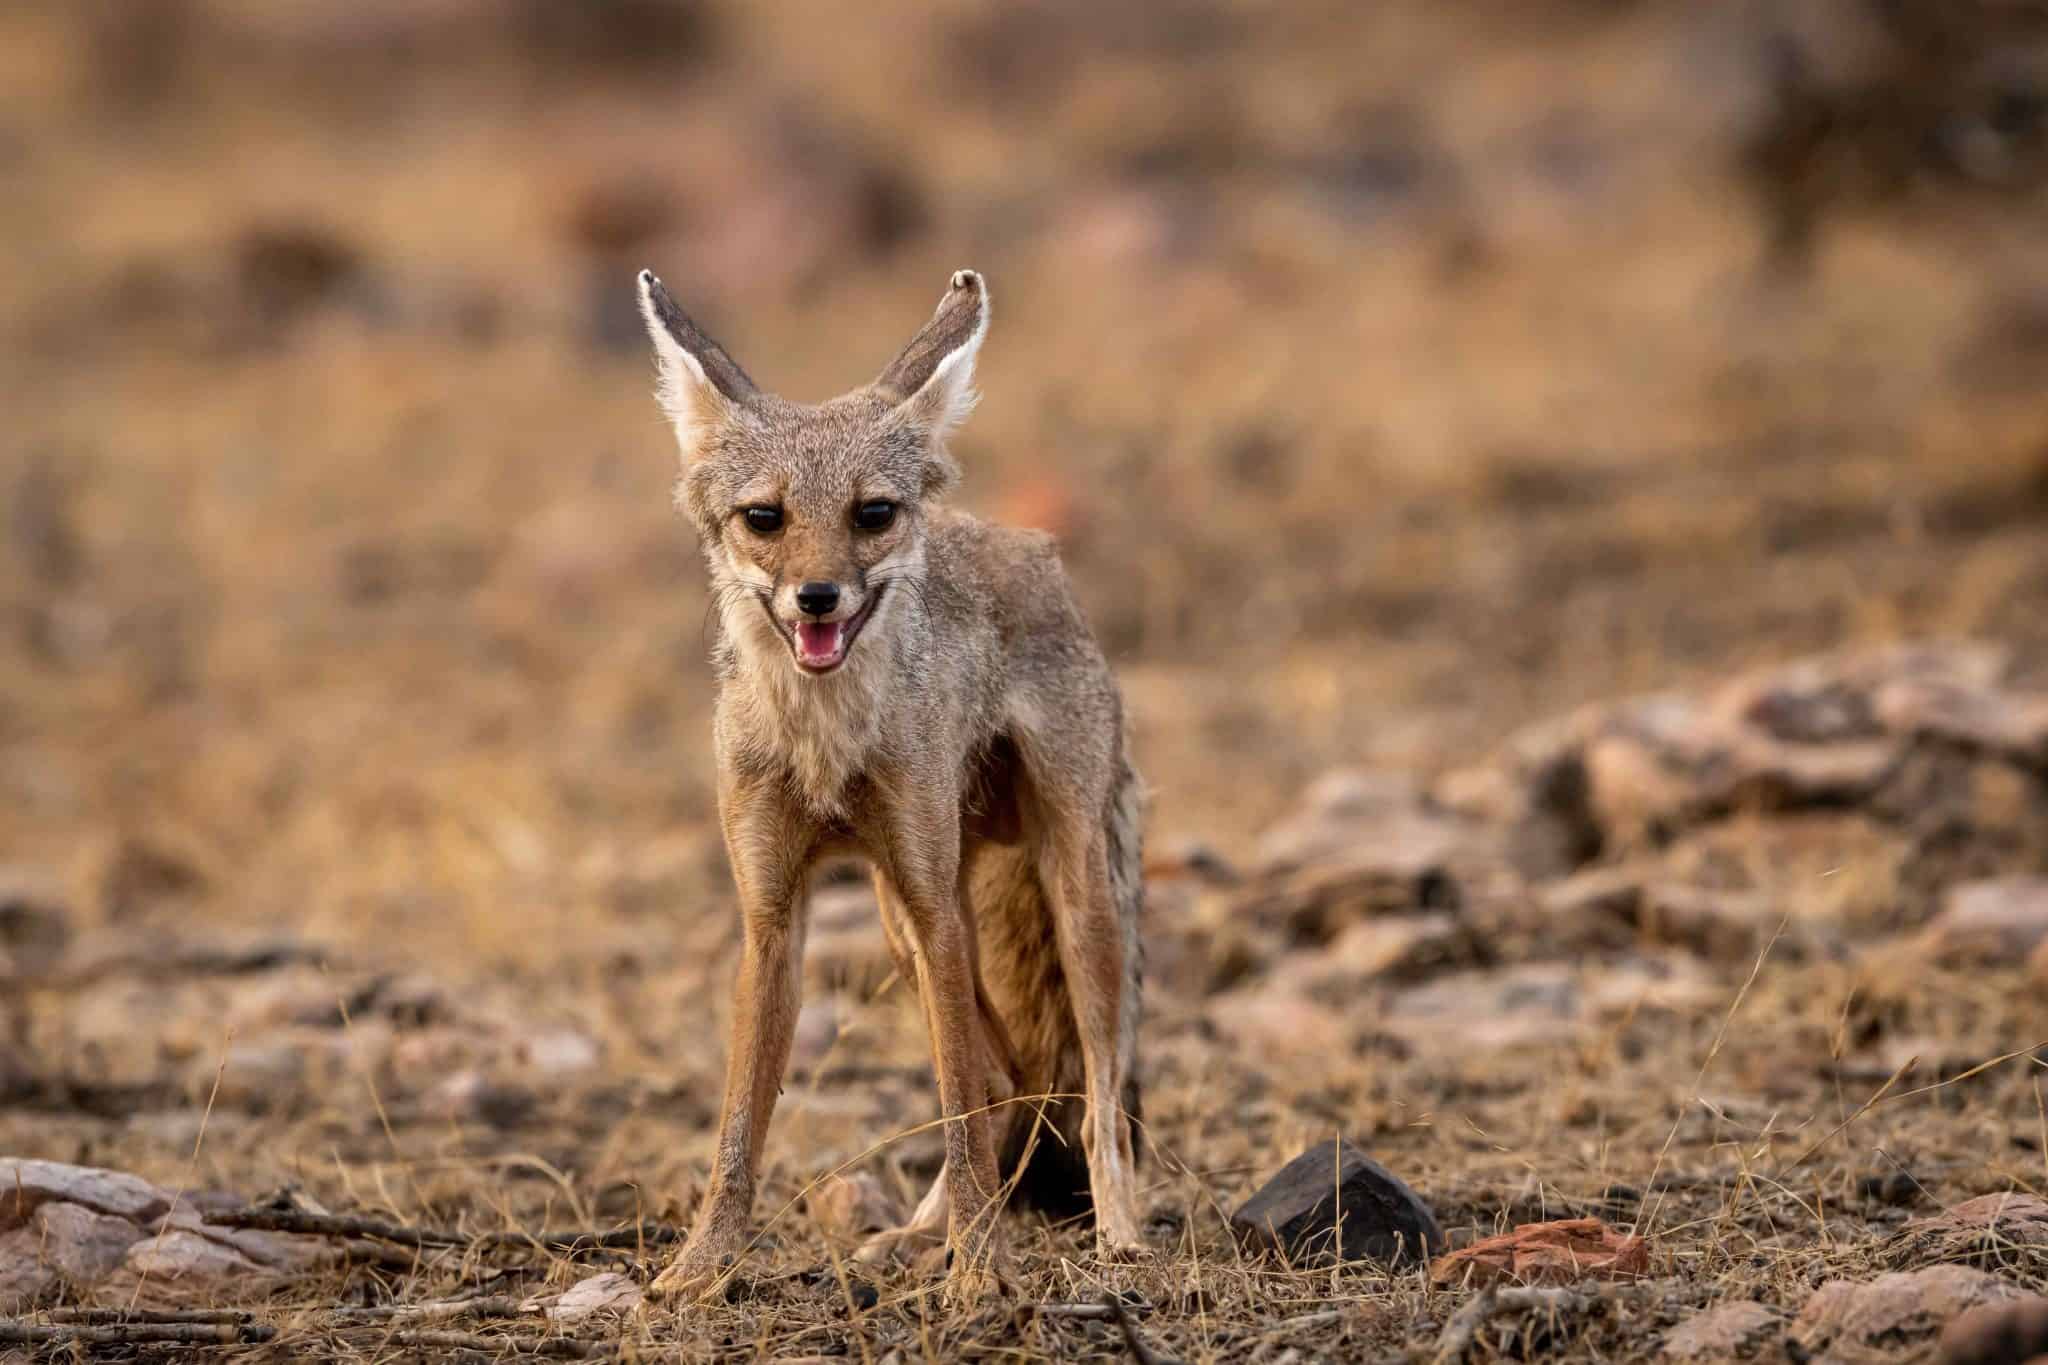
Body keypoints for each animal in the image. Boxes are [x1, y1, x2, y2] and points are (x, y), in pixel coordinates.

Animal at [632, 267, 1146, 1305]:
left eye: (872, 514)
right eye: (765, 518)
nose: (817, 598)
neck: (825, 743)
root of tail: (1028, 544)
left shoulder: (935, 904)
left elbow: (955, 1103)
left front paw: (982, 1270)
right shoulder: (773, 917)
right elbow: (739, 1131)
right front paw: (700, 1267)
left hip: (1066, 900)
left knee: (1091, 1093)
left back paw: (1114, 1234)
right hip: (894, 918)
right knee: (1007, 1079)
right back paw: (916, 1236)